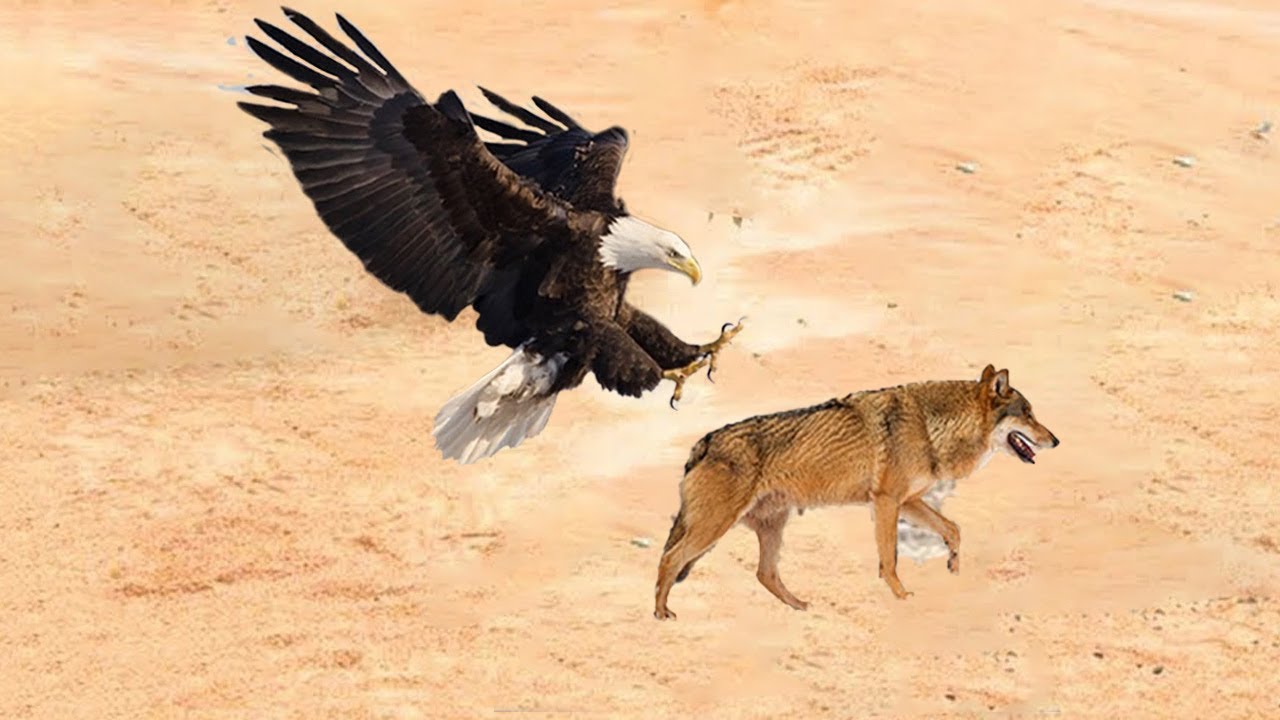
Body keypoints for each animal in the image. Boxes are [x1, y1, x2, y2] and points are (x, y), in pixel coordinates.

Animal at [653, 364, 1059, 620]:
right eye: (1028, 414)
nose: (1055, 440)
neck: (933, 426)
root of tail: (703, 443)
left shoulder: (907, 502)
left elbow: (953, 530)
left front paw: (953, 567)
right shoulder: (887, 502)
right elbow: (890, 558)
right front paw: (901, 596)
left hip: (769, 527)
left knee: (763, 574)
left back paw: (800, 607)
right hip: (713, 529)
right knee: (670, 558)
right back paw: (660, 612)